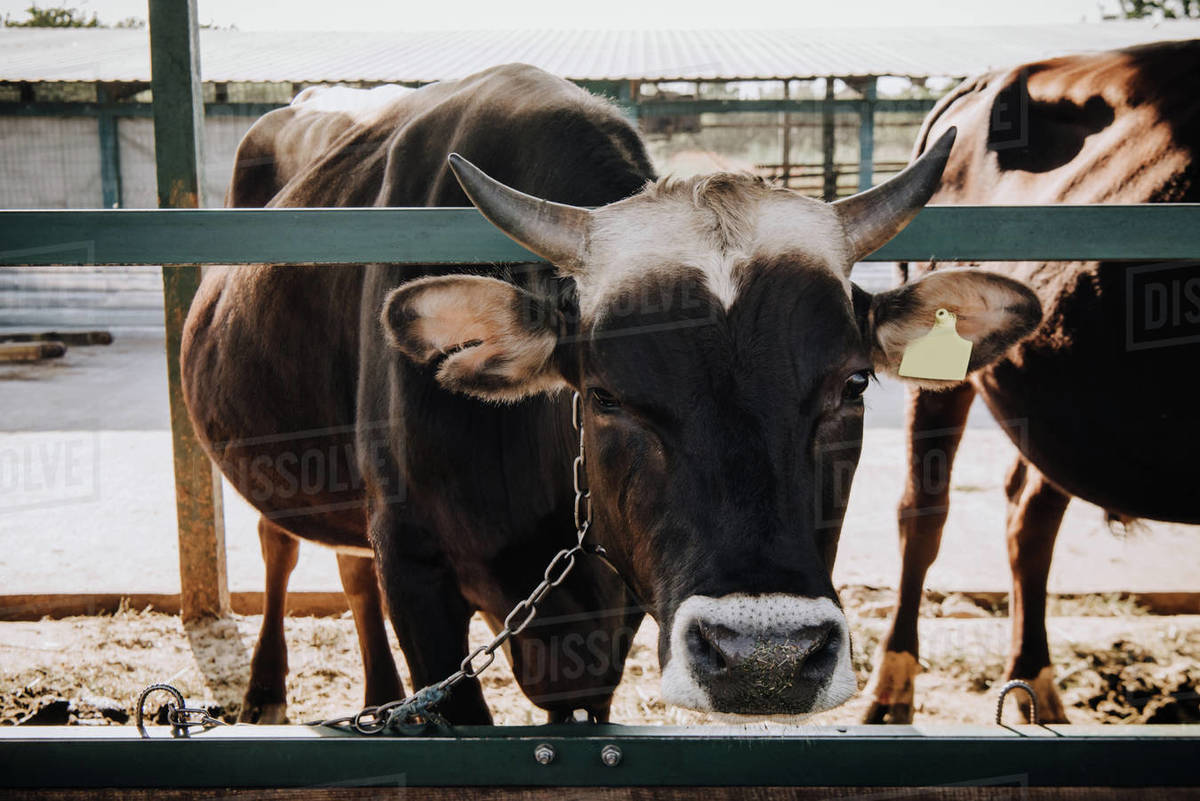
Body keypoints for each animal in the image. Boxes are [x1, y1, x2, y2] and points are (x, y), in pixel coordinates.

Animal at [183, 63, 1041, 725]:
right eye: (605, 395)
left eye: (852, 382)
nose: (764, 658)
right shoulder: (415, 570)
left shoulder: (610, 613)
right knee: (282, 546)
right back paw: (267, 690)